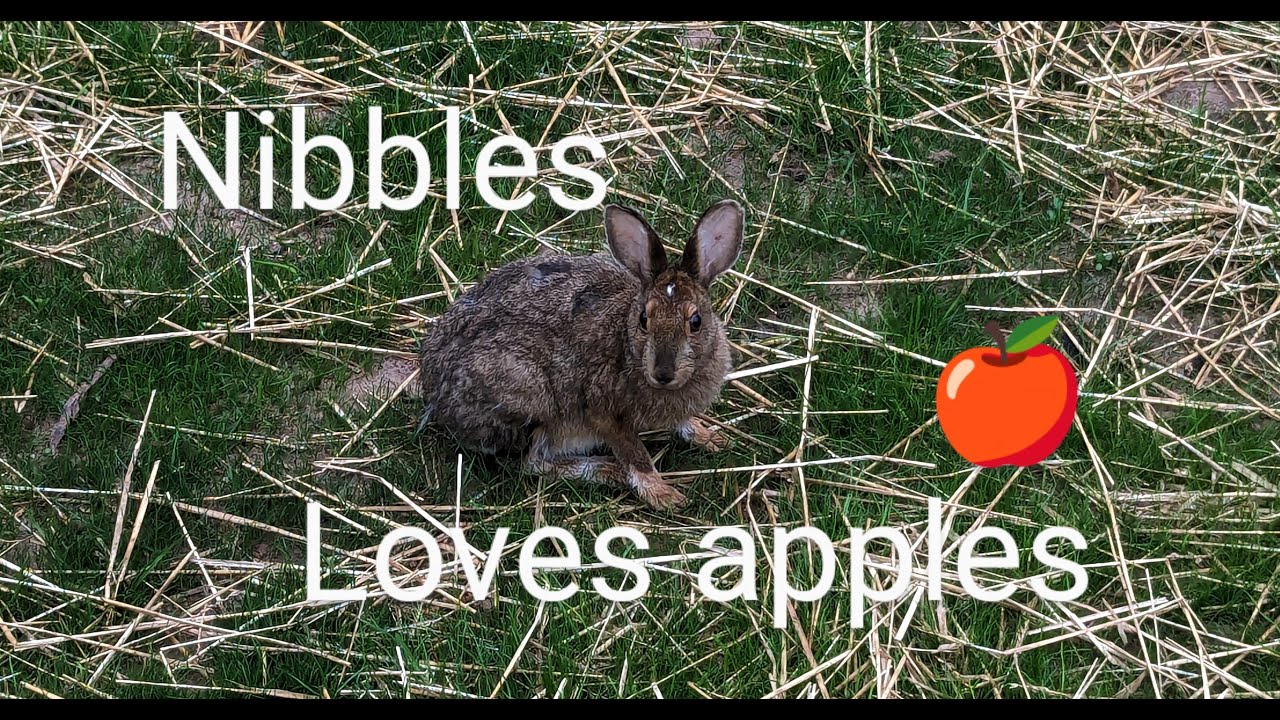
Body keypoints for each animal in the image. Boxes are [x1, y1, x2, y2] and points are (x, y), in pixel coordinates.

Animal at [417, 200, 745, 511]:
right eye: (643, 319)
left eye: (696, 321)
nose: (663, 373)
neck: (627, 344)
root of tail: (436, 396)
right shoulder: (603, 412)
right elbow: (634, 453)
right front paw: (663, 495)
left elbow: (683, 421)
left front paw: (712, 438)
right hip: (532, 396)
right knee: (533, 462)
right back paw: (607, 471)